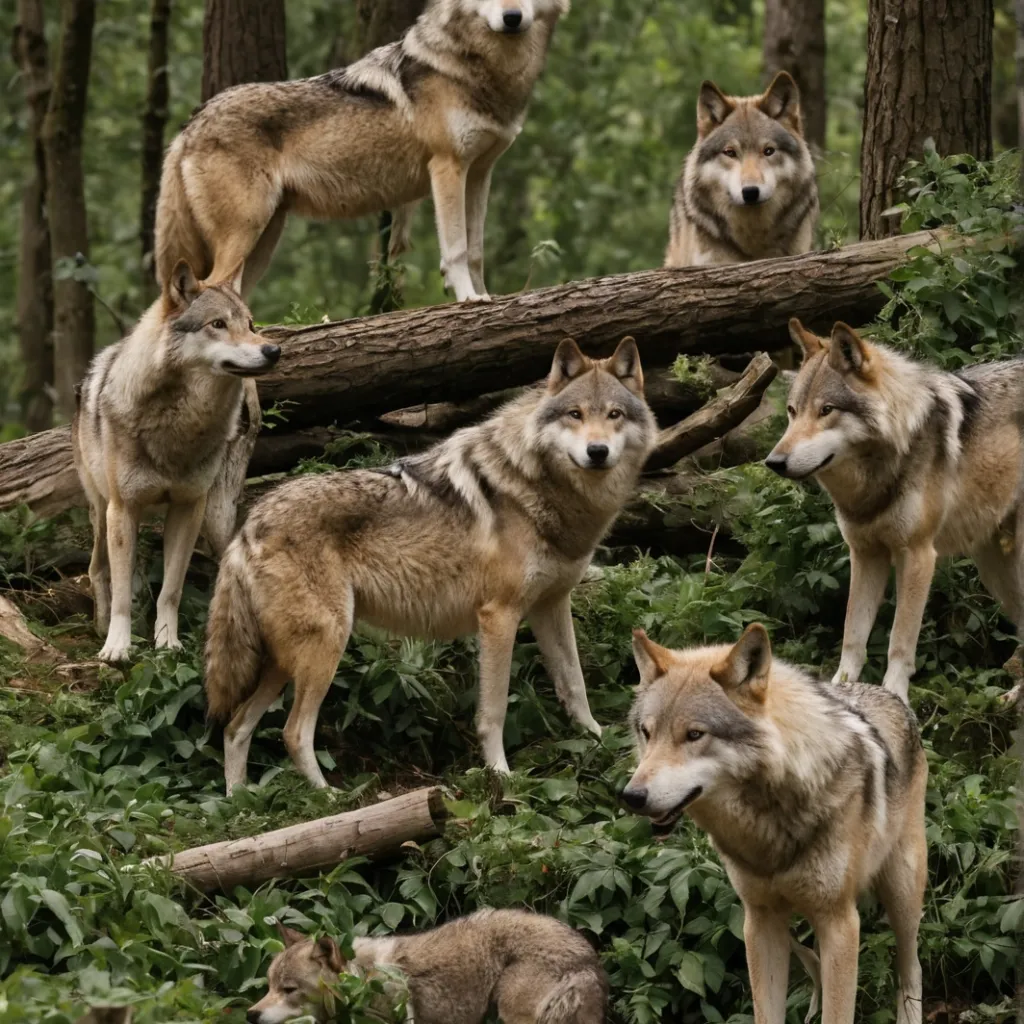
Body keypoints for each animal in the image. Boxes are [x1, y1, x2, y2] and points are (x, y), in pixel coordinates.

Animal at [73, 261, 281, 663]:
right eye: (218, 324)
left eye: (250, 324)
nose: (273, 350)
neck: (181, 424)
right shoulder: (123, 508)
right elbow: (121, 593)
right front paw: (117, 646)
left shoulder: (189, 508)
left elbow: (171, 589)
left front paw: (167, 643)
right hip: (103, 512)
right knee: (97, 569)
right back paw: (101, 628)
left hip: (218, 515)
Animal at [155, 0, 569, 304]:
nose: (512, 18)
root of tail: (191, 123)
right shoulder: (447, 167)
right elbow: (456, 250)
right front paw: (468, 298)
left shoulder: (480, 173)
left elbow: (476, 249)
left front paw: (487, 296)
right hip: (247, 230)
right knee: (210, 287)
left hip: (263, 238)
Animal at [205, 338, 656, 792]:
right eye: (574, 414)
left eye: (614, 415)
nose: (597, 452)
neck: (541, 488)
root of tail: (248, 526)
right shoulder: (498, 616)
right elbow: (493, 711)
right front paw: (500, 775)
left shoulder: (551, 604)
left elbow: (575, 685)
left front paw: (600, 742)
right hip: (325, 645)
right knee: (293, 732)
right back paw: (329, 798)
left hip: (283, 660)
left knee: (235, 727)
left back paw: (238, 800)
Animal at [621, 623, 927, 1024]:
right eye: (647, 732)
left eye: (694, 734)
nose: (631, 796)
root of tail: (889, 694)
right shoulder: (760, 921)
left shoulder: (840, 923)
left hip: (902, 891)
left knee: (912, 967)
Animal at [766, 319, 1024, 703]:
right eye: (792, 411)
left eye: (826, 410)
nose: (774, 462)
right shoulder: (865, 554)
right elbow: (853, 637)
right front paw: (841, 692)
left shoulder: (917, 555)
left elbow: (899, 643)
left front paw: (896, 698)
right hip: (996, 572)